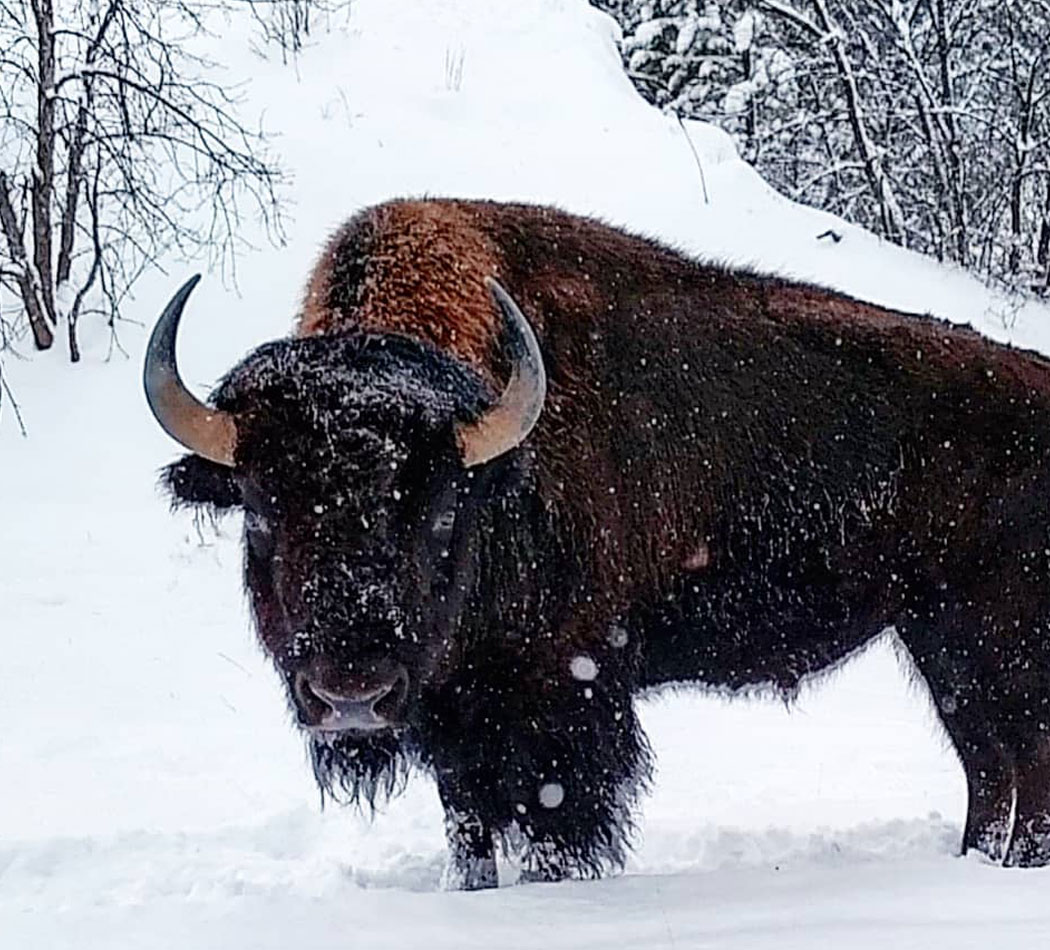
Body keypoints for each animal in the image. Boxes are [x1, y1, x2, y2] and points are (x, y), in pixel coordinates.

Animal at [146, 199, 1050, 887]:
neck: (499, 469)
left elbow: (559, 822)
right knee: (986, 761)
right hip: (937, 640)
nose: (351, 694)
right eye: (262, 505)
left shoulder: (565, 700)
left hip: (994, 636)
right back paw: (972, 863)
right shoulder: (455, 718)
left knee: (1023, 757)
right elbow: (471, 829)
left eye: (437, 507)